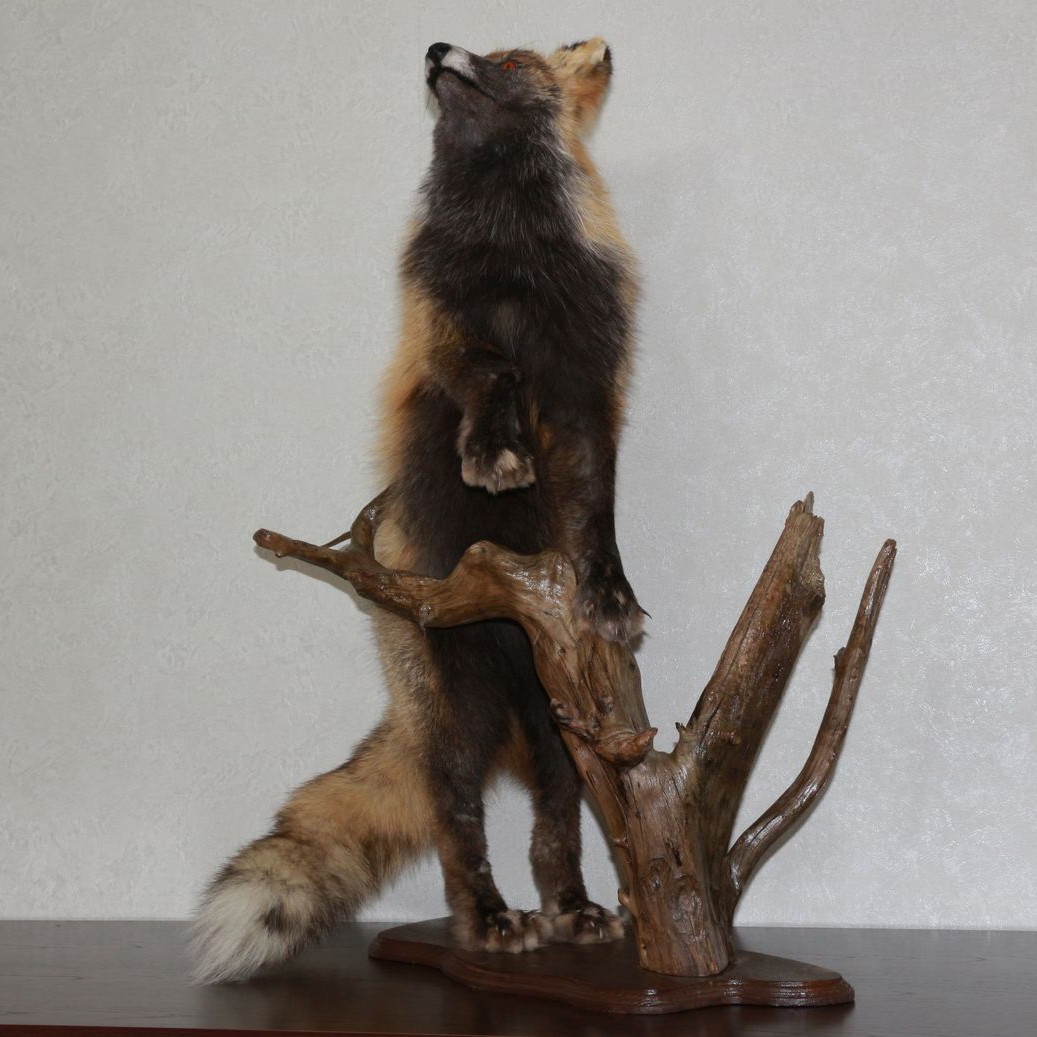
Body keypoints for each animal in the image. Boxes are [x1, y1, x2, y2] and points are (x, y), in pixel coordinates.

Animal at [191, 36, 642, 983]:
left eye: (509, 60)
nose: (435, 49)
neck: (514, 255)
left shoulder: (591, 382)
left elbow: (599, 511)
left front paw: (611, 593)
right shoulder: (440, 325)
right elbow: (489, 371)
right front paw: (490, 453)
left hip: (559, 728)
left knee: (554, 829)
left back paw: (571, 912)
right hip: (451, 719)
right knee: (456, 826)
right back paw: (490, 922)